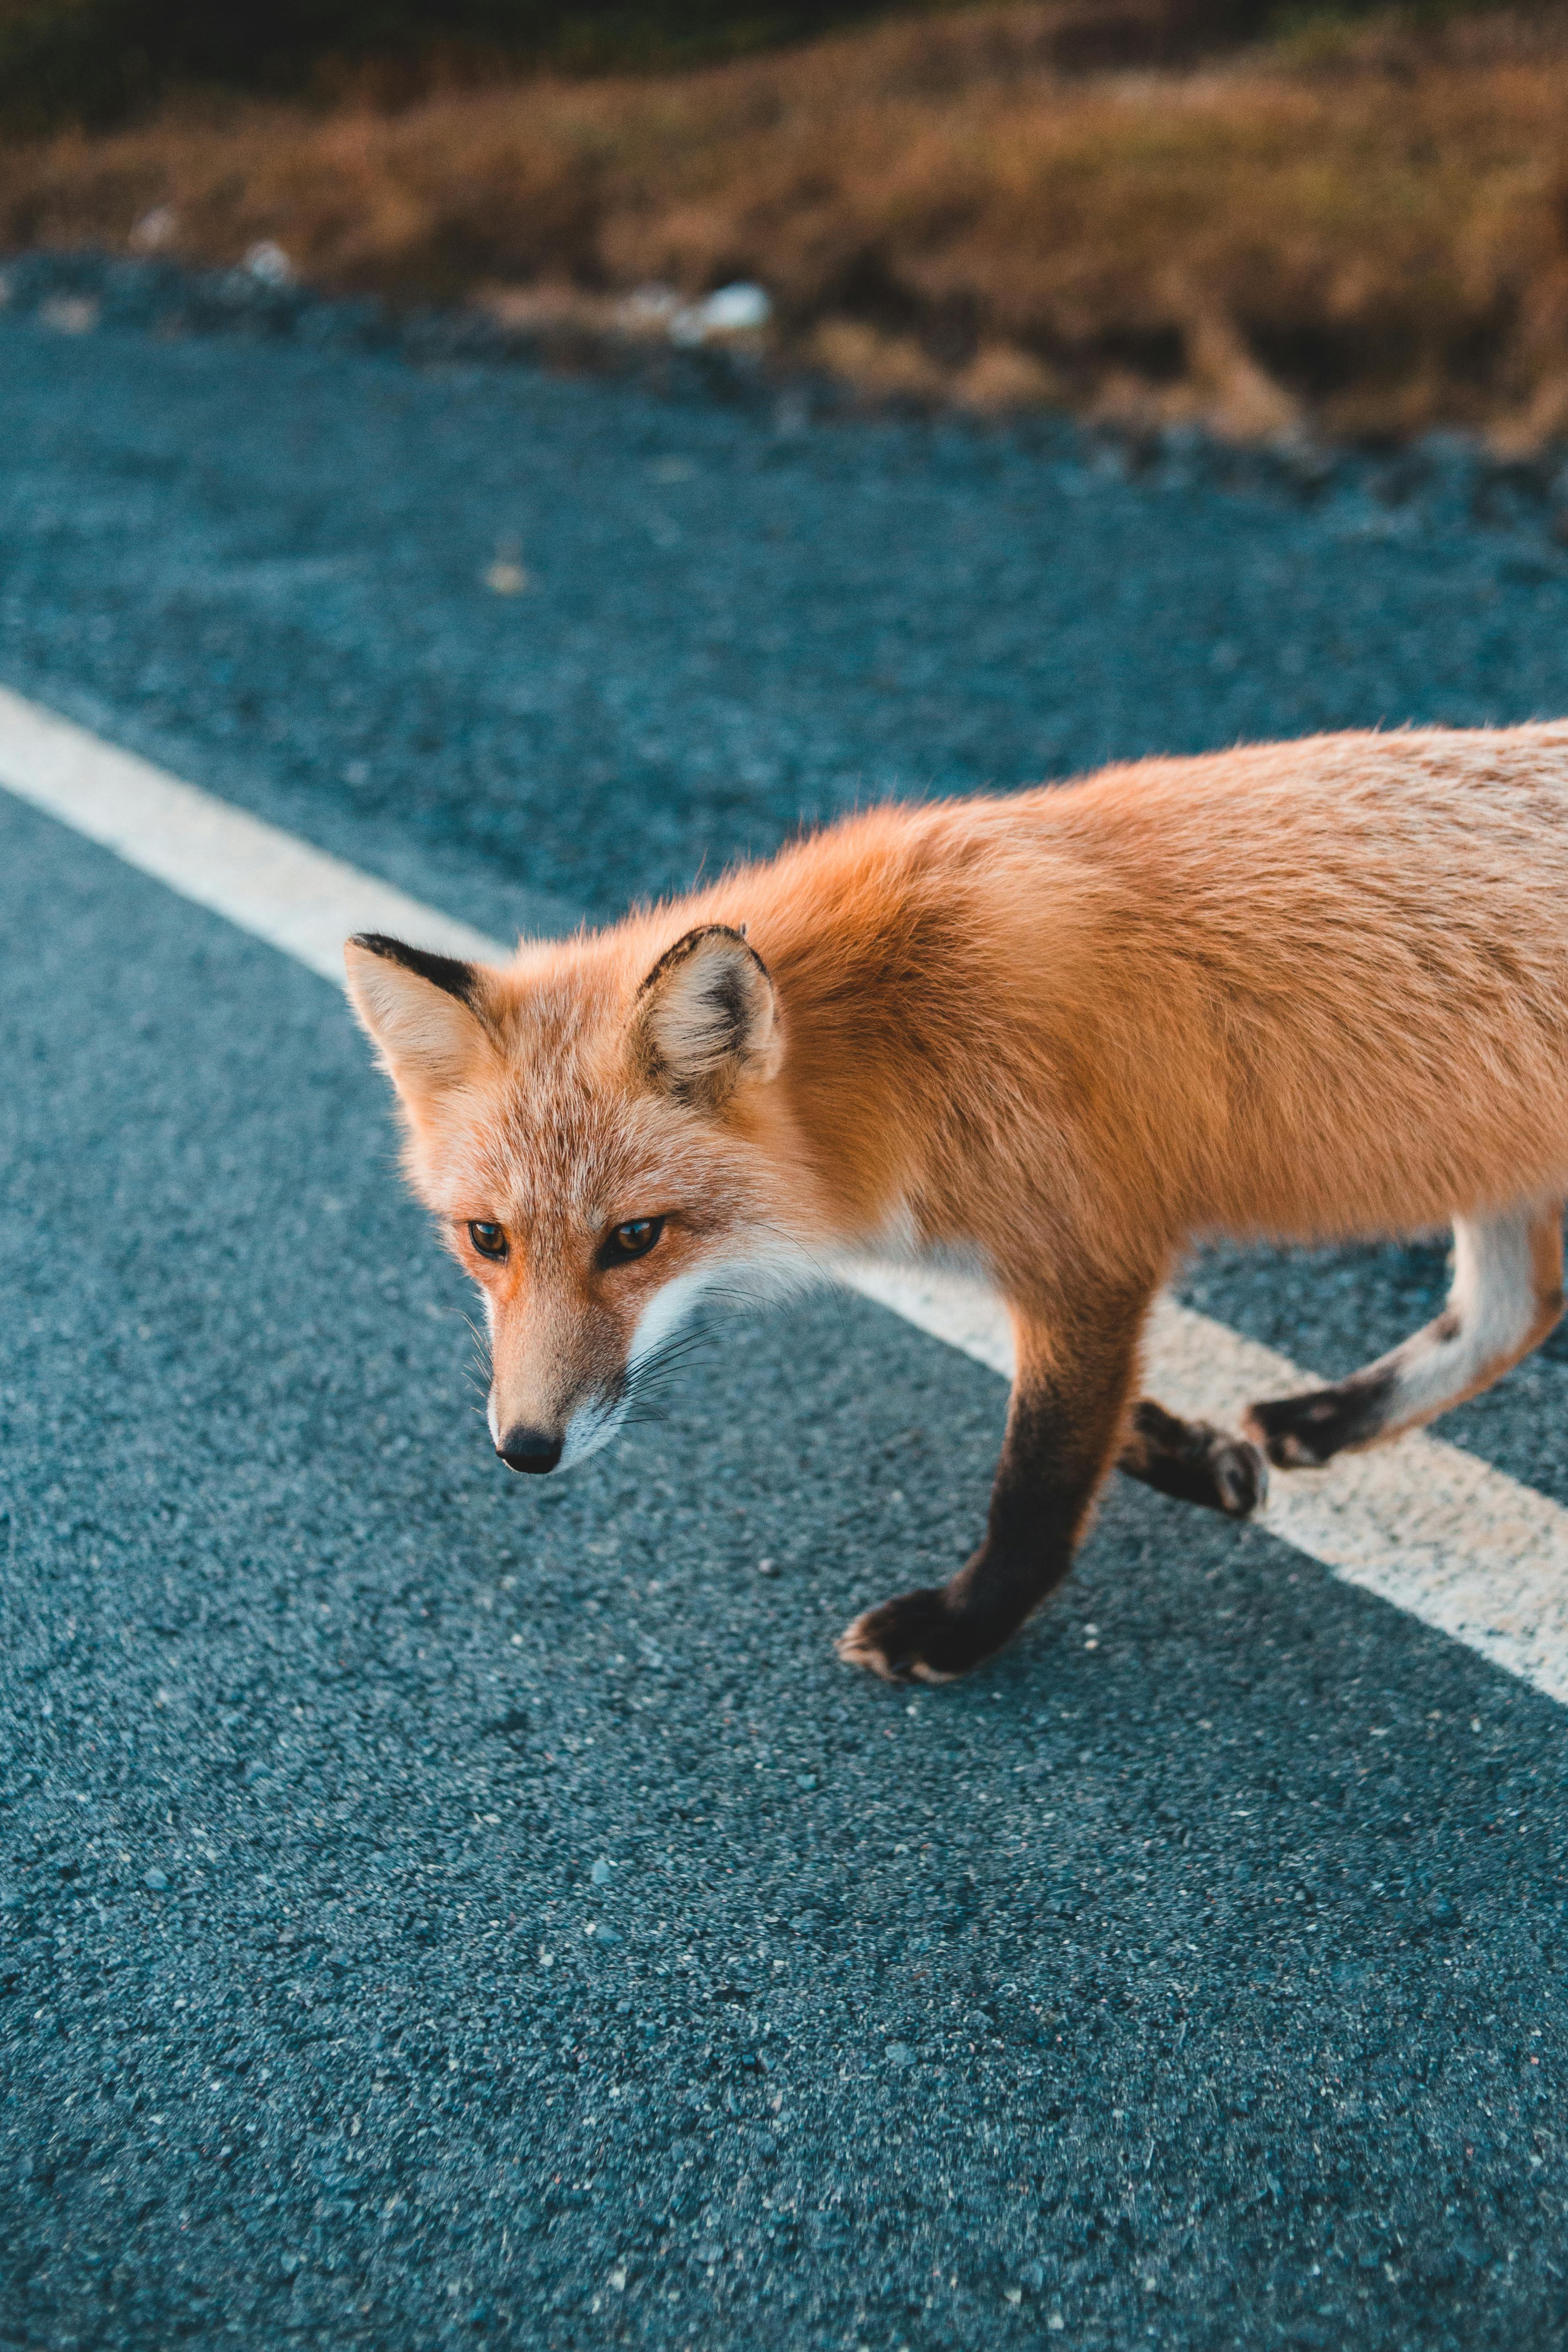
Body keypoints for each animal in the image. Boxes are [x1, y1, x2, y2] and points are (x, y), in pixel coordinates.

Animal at [344, 723, 1568, 1685]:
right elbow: (1099, 1416)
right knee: (1513, 1312)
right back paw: (1324, 1419)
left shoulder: (1088, 1255)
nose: (525, 1449)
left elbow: (1036, 1480)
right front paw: (1181, 1448)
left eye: (634, 1238)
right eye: (488, 1239)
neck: (905, 1037)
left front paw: (962, 1630)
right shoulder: (1056, 1256)